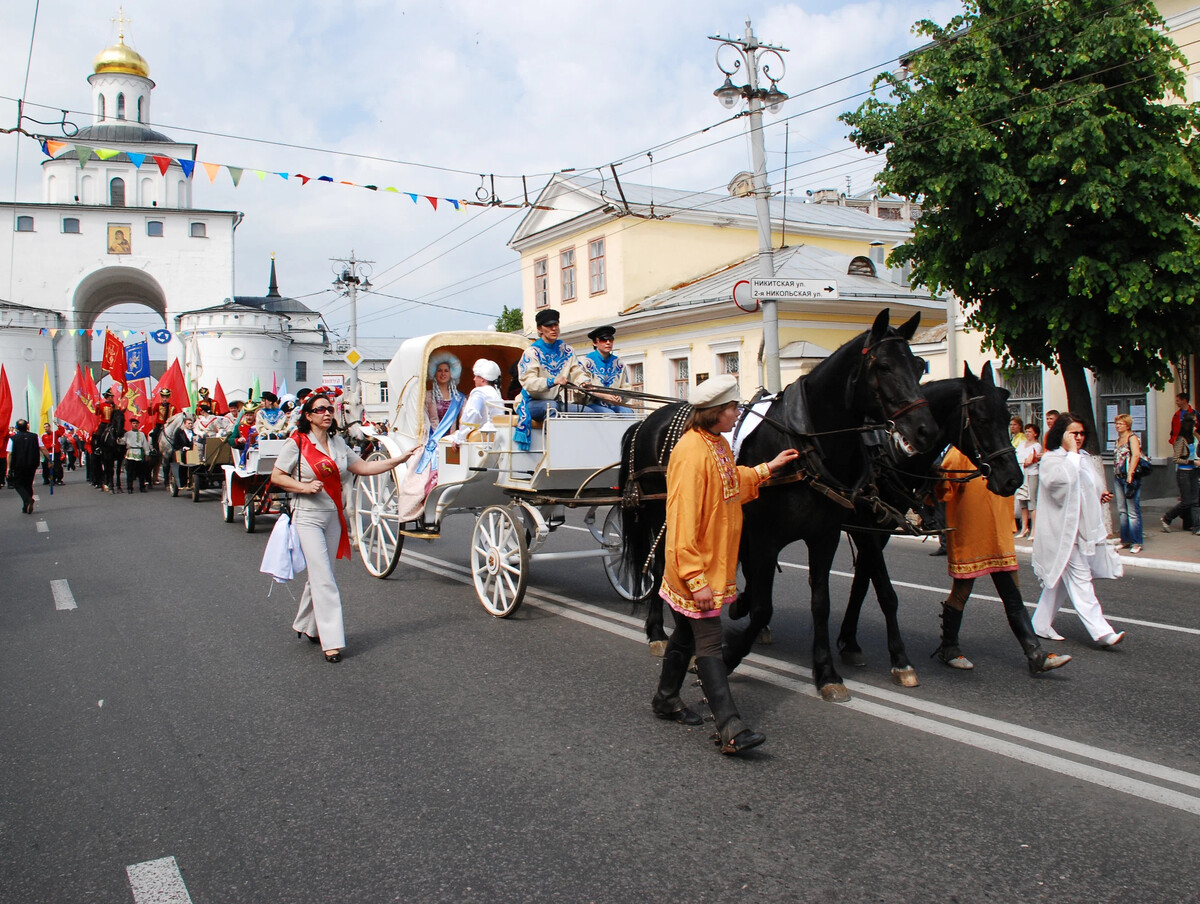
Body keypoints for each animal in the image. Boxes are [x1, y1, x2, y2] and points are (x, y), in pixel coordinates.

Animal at [624, 307, 940, 701]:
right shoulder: (765, 539)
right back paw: (657, 631)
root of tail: (647, 421)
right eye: (883, 366)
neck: (805, 442)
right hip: (662, 514)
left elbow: (822, 602)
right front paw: (724, 658)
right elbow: (762, 607)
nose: (926, 432)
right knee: (662, 565)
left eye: (918, 365)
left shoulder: (826, 536)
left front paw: (827, 672)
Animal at [835, 362, 1022, 686]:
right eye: (981, 418)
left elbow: (861, 584)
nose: (1014, 478)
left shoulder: (879, 530)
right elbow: (886, 593)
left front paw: (850, 643)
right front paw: (900, 660)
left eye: (1008, 417)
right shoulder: (866, 529)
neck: (888, 452)